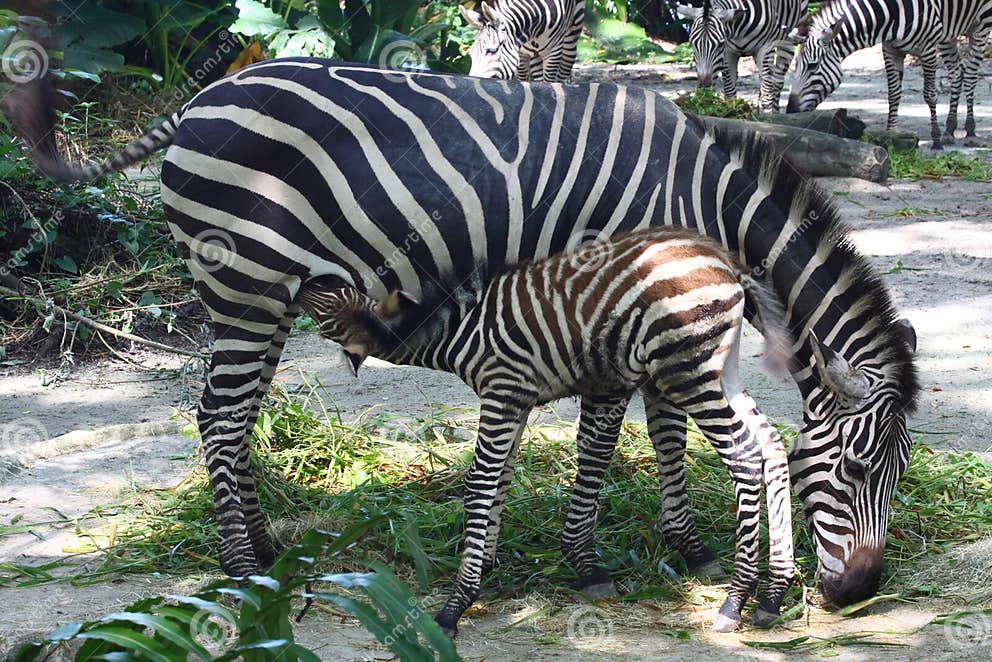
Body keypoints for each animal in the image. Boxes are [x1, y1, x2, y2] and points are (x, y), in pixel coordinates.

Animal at [296, 227, 797, 634]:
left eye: (328, 304)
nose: (307, 278)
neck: (456, 330)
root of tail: (728, 263)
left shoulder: (502, 390)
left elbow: (479, 486)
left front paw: (455, 606)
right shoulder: (513, 402)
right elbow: (499, 482)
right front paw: (485, 569)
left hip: (685, 369)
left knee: (744, 457)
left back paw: (735, 601)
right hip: (719, 367)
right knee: (771, 444)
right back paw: (774, 595)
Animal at [676, 0, 809, 112]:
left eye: (720, 44)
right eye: (692, 44)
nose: (704, 88)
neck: (738, 28)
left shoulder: (766, 48)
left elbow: (767, 93)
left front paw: (769, 117)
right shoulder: (728, 52)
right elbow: (730, 92)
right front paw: (732, 112)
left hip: (790, 36)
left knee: (777, 81)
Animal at [786, 0, 948, 148]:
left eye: (813, 66)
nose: (790, 111)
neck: (892, 13)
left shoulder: (928, 49)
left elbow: (930, 94)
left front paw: (936, 140)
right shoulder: (890, 49)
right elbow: (894, 94)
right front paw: (891, 135)